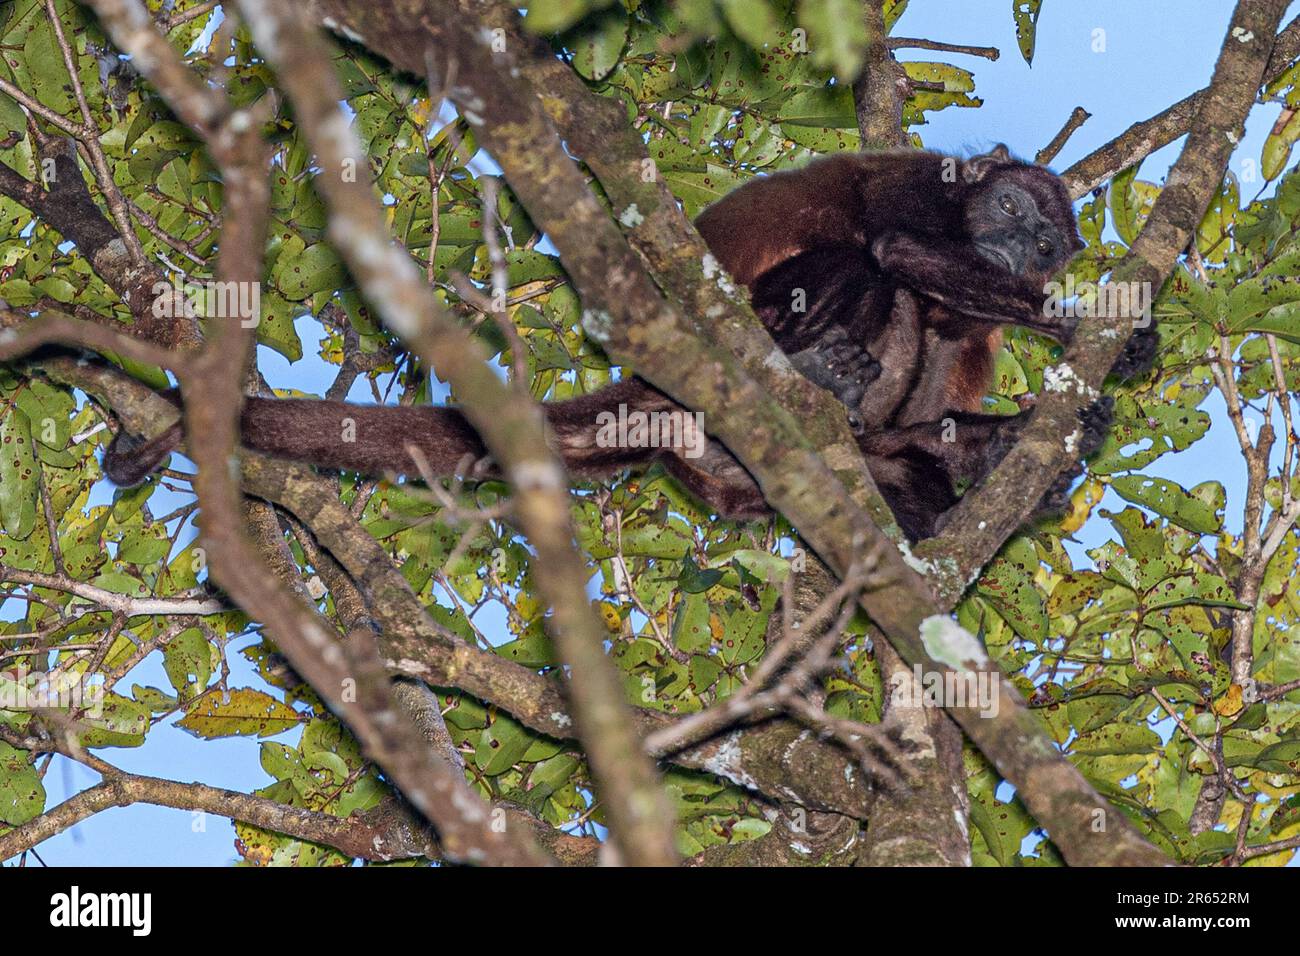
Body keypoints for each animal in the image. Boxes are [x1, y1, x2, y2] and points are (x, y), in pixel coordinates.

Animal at [101, 147, 1156, 540]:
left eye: (1047, 240)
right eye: (1012, 209)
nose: (1021, 247)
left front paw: (1044, 424)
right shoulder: (923, 182)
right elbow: (899, 244)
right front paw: (1095, 324)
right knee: (867, 270)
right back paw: (819, 372)